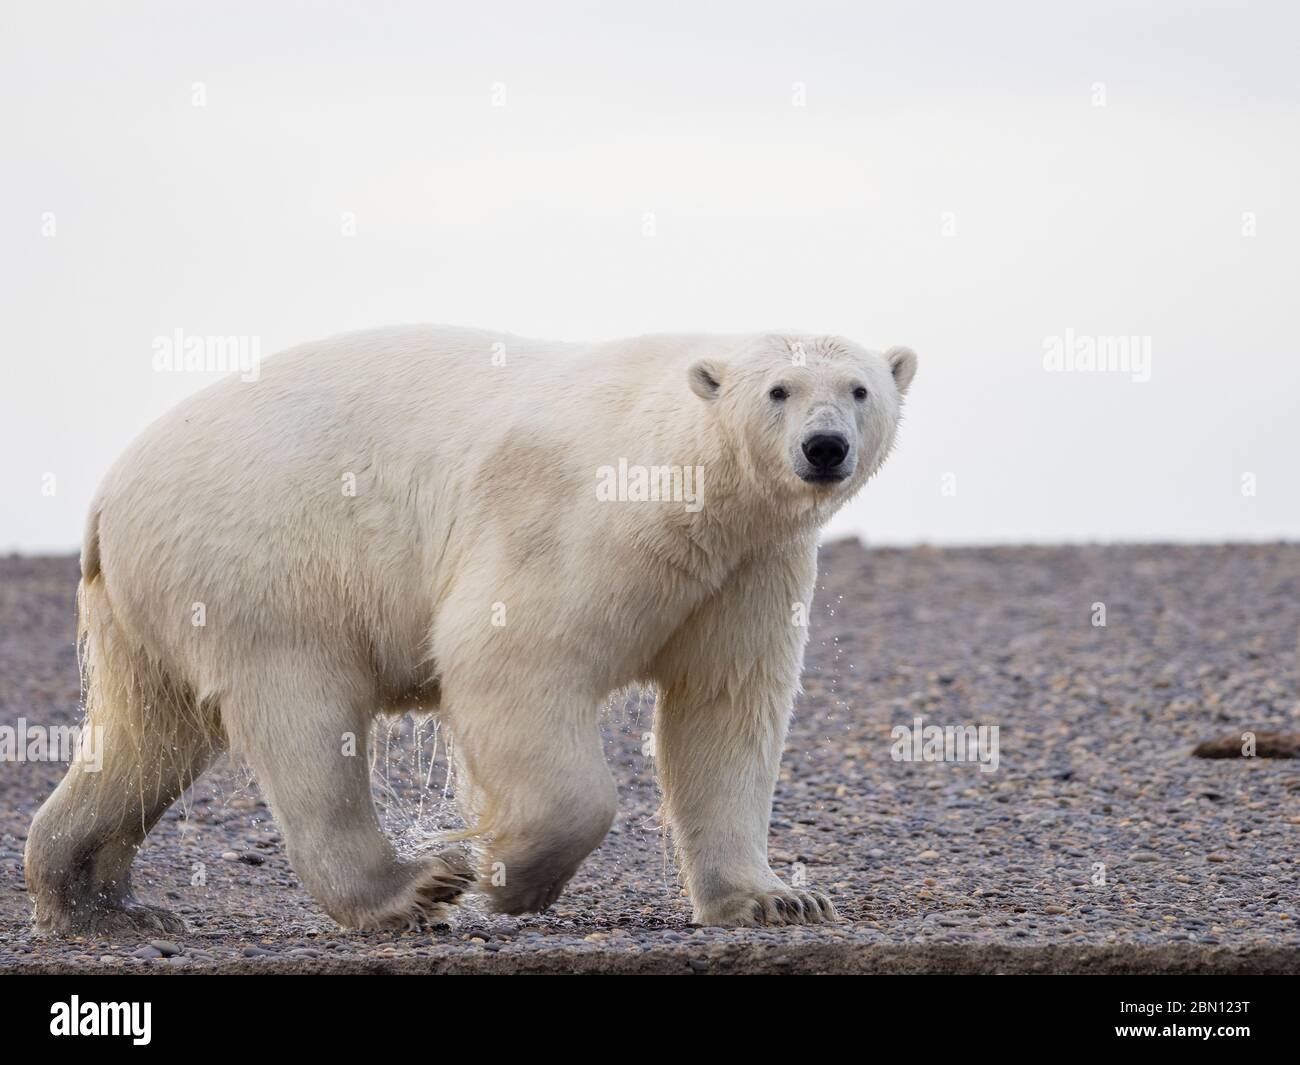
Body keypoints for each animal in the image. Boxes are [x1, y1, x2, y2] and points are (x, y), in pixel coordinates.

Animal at [25, 326, 917, 933]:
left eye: (859, 388)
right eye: (779, 390)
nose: (824, 446)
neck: (692, 476)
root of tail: (108, 495)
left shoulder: (747, 567)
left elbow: (725, 708)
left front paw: (778, 897)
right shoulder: (581, 521)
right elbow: (509, 657)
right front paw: (512, 877)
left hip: (152, 600)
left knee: (148, 734)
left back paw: (97, 901)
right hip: (260, 563)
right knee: (304, 717)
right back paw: (409, 888)